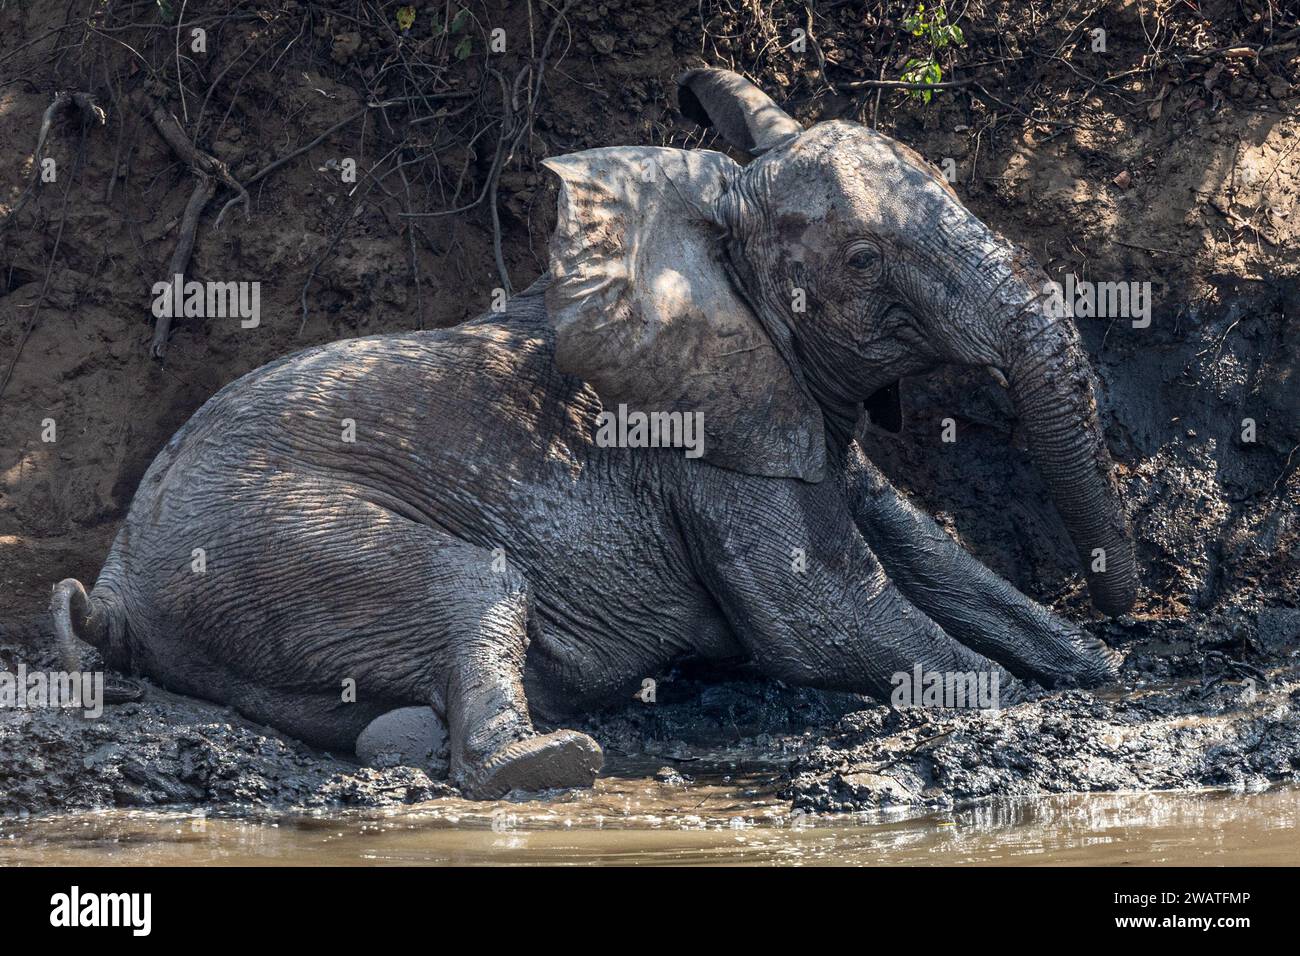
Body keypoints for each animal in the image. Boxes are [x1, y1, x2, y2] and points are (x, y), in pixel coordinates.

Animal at [51, 69, 1137, 799]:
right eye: (865, 261)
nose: (1124, 609)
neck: (701, 223)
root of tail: (115, 587)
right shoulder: (697, 438)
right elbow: (819, 616)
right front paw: (1024, 690)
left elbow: (923, 551)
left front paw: (1095, 666)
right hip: (259, 539)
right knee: (477, 578)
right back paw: (543, 760)